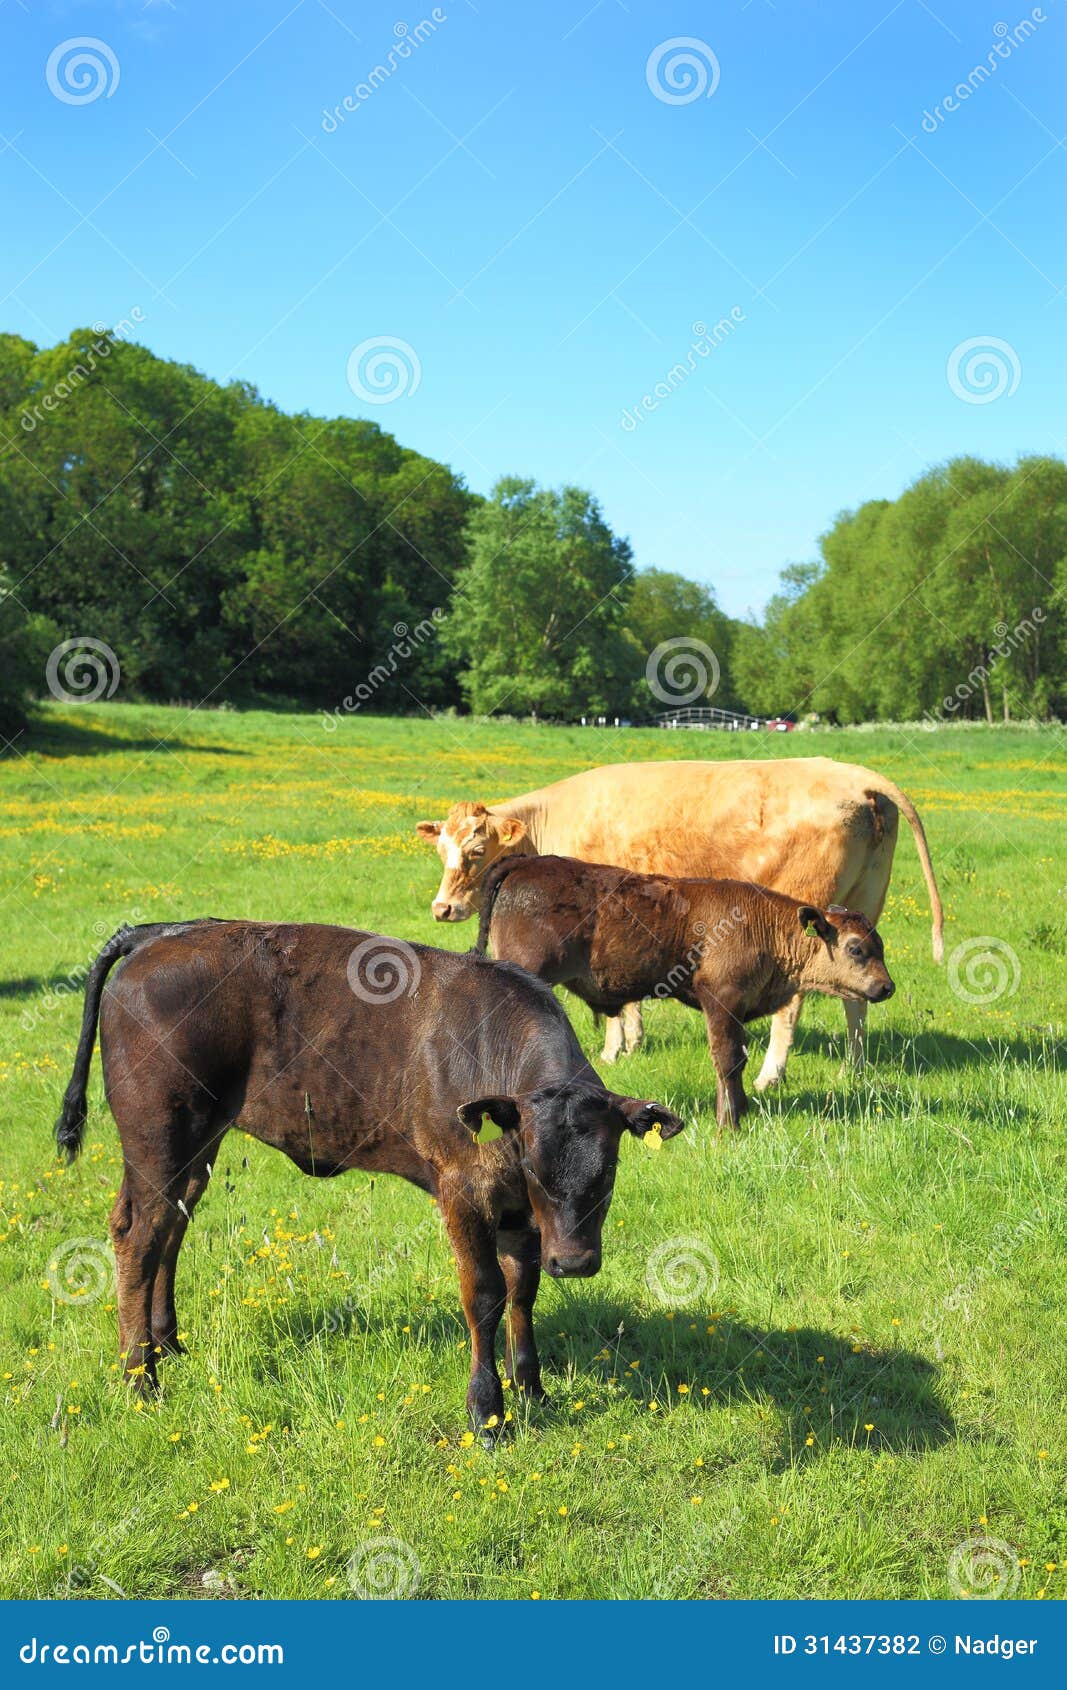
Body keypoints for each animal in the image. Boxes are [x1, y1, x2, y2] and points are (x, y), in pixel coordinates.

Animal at [54, 919, 684, 1435]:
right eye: (533, 1162)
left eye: (609, 1167)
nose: (574, 1262)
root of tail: (161, 933)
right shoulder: (463, 1190)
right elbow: (484, 1294)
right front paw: (488, 1411)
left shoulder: (520, 1216)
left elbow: (522, 1291)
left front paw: (532, 1390)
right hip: (158, 1141)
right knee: (137, 1237)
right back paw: (141, 1377)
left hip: (197, 1144)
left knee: (171, 1228)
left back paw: (167, 1344)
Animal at [416, 756, 940, 1084]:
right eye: (440, 850)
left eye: (476, 852)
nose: (441, 908)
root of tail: (856, 777)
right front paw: (632, 1042)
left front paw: (614, 1048)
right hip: (859, 911)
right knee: (857, 997)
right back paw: (853, 1071)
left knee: (792, 1005)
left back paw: (770, 1074)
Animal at [471, 855, 895, 1126]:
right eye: (856, 948)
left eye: (881, 946)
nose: (887, 986)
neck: (764, 926)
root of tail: (526, 863)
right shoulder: (721, 1001)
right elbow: (728, 1060)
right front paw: (730, 1122)